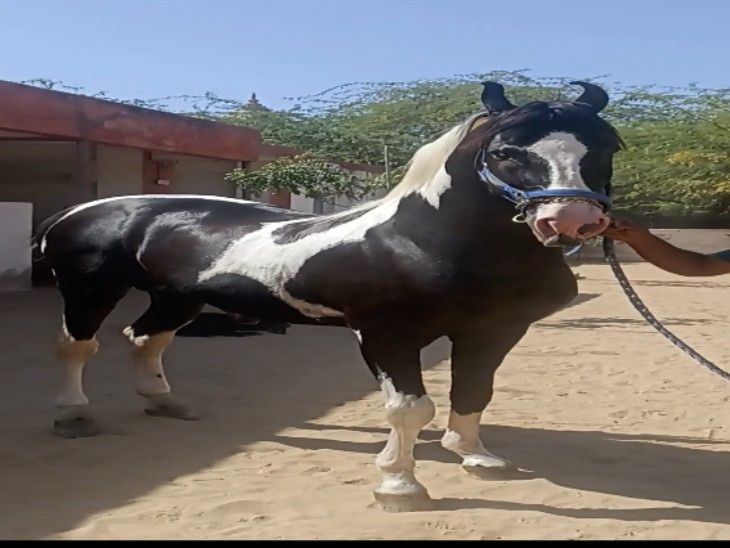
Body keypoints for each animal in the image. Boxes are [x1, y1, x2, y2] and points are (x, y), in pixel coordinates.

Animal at [34, 81, 622, 512]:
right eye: (504, 151)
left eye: (608, 147)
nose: (571, 220)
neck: (424, 239)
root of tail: (75, 211)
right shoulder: (386, 335)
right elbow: (411, 408)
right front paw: (399, 487)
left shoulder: (494, 331)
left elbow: (474, 393)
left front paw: (476, 457)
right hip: (91, 290)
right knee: (77, 347)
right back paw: (73, 416)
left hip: (177, 297)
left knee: (144, 338)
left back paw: (163, 402)